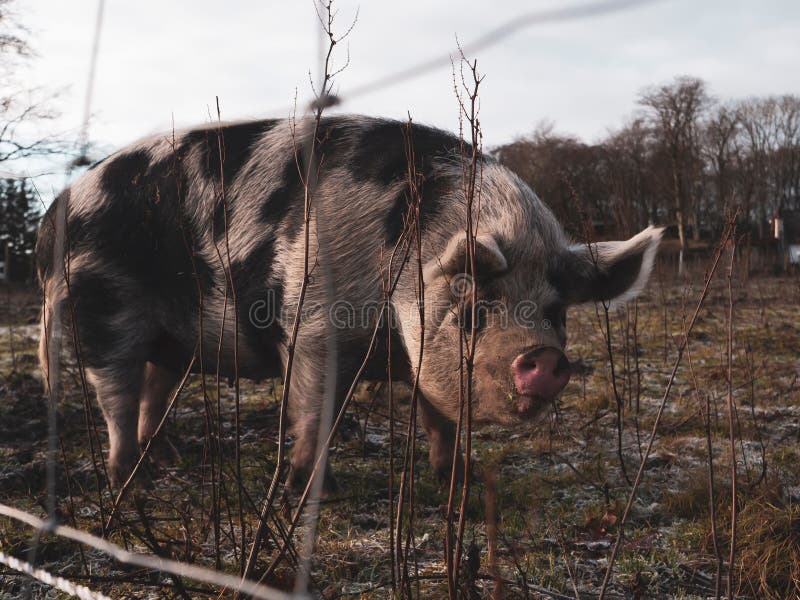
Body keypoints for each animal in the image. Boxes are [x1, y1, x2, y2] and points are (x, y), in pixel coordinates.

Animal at [36, 115, 663, 489]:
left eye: (556, 312)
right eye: (473, 311)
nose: (544, 357)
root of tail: (54, 214)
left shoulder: (417, 351)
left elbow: (438, 418)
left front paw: (455, 479)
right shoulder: (312, 327)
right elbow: (315, 412)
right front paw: (310, 490)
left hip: (170, 338)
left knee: (153, 388)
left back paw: (165, 457)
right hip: (101, 305)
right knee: (116, 396)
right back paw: (127, 478)